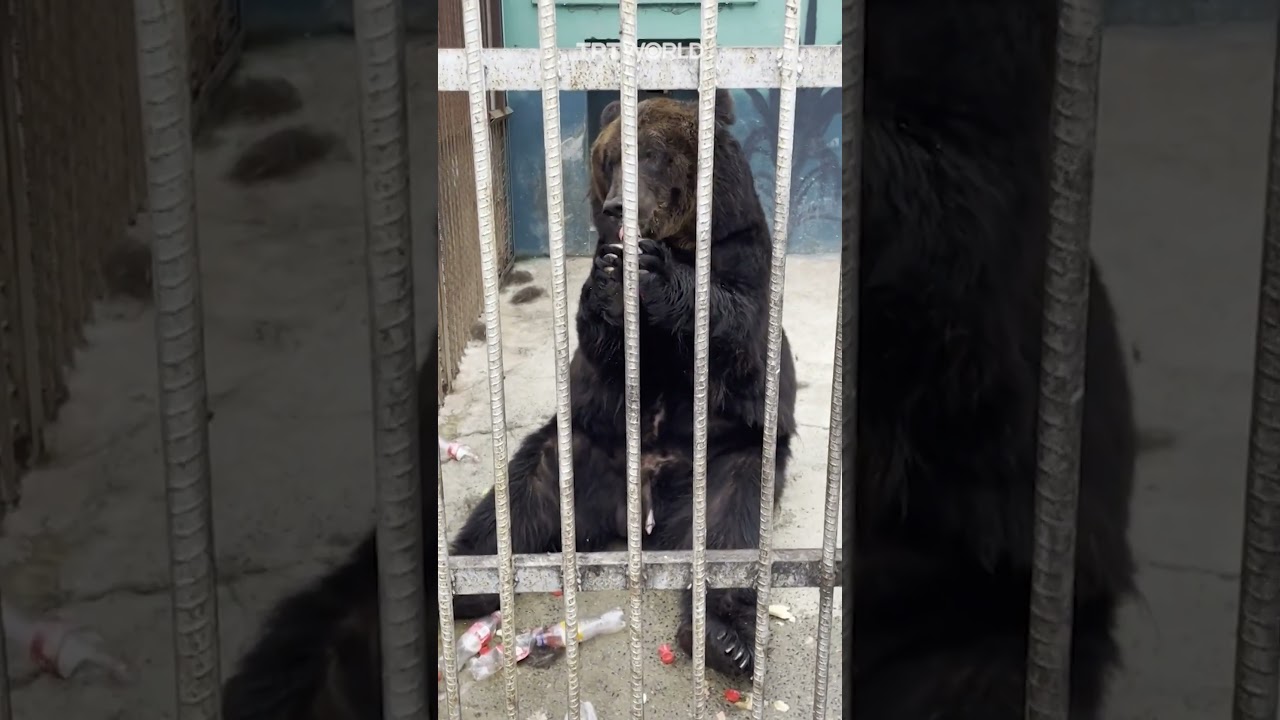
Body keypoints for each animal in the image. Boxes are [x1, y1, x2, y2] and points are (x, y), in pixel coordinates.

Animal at [446, 87, 798, 681]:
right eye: (609, 159)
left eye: (652, 154)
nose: (615, 207)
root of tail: (638, 520)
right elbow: (604, 348)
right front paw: (610, 284)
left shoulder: (741, 254)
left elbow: (737, 332)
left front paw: (657, 275)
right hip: (580, 450)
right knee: (519, 494)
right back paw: (468, 582)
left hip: (725, 459)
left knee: (733, 531)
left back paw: (725, 640)